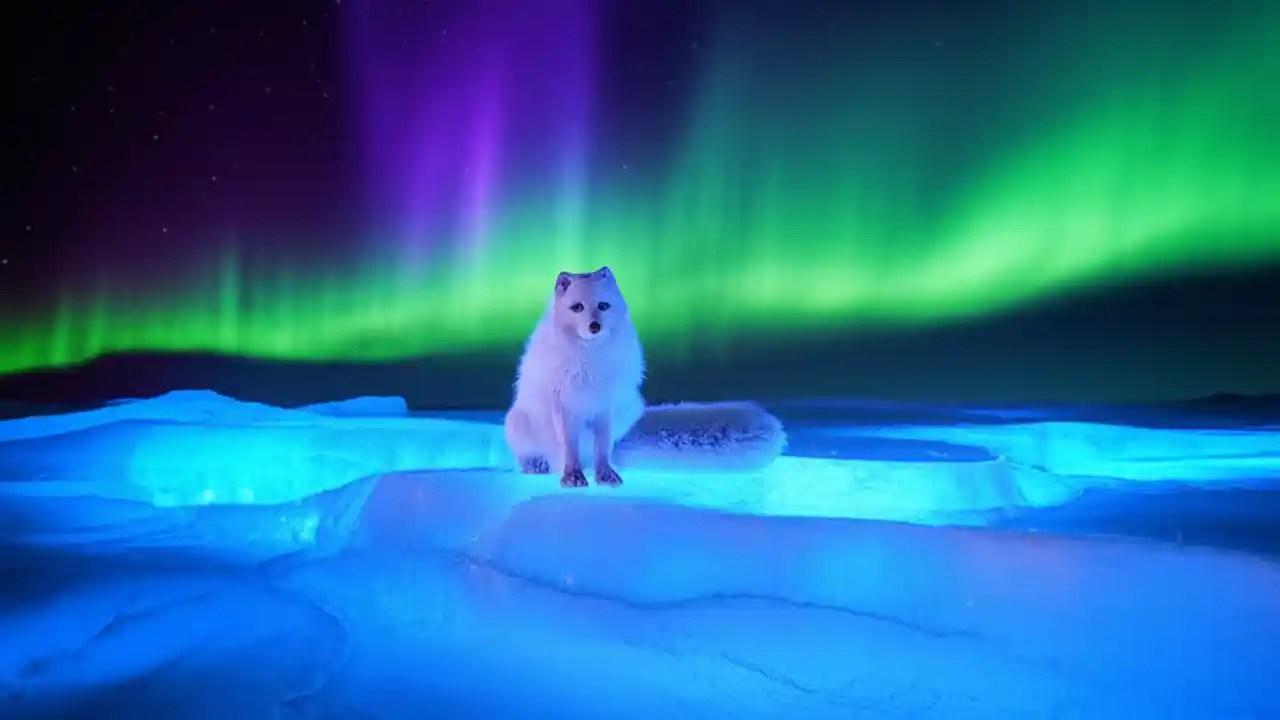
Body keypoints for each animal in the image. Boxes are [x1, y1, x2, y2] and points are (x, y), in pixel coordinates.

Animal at [503, 266, 646, 488]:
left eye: (603, 306)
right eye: (577, 307)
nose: (594, 326)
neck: (589, 356)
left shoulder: (604, 405)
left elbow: (603, 444)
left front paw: (605, 474)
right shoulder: (563, 406)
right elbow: (569, 446)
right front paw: (572, 477)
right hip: (517, 423)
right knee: (527, 456)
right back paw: (536, 465)